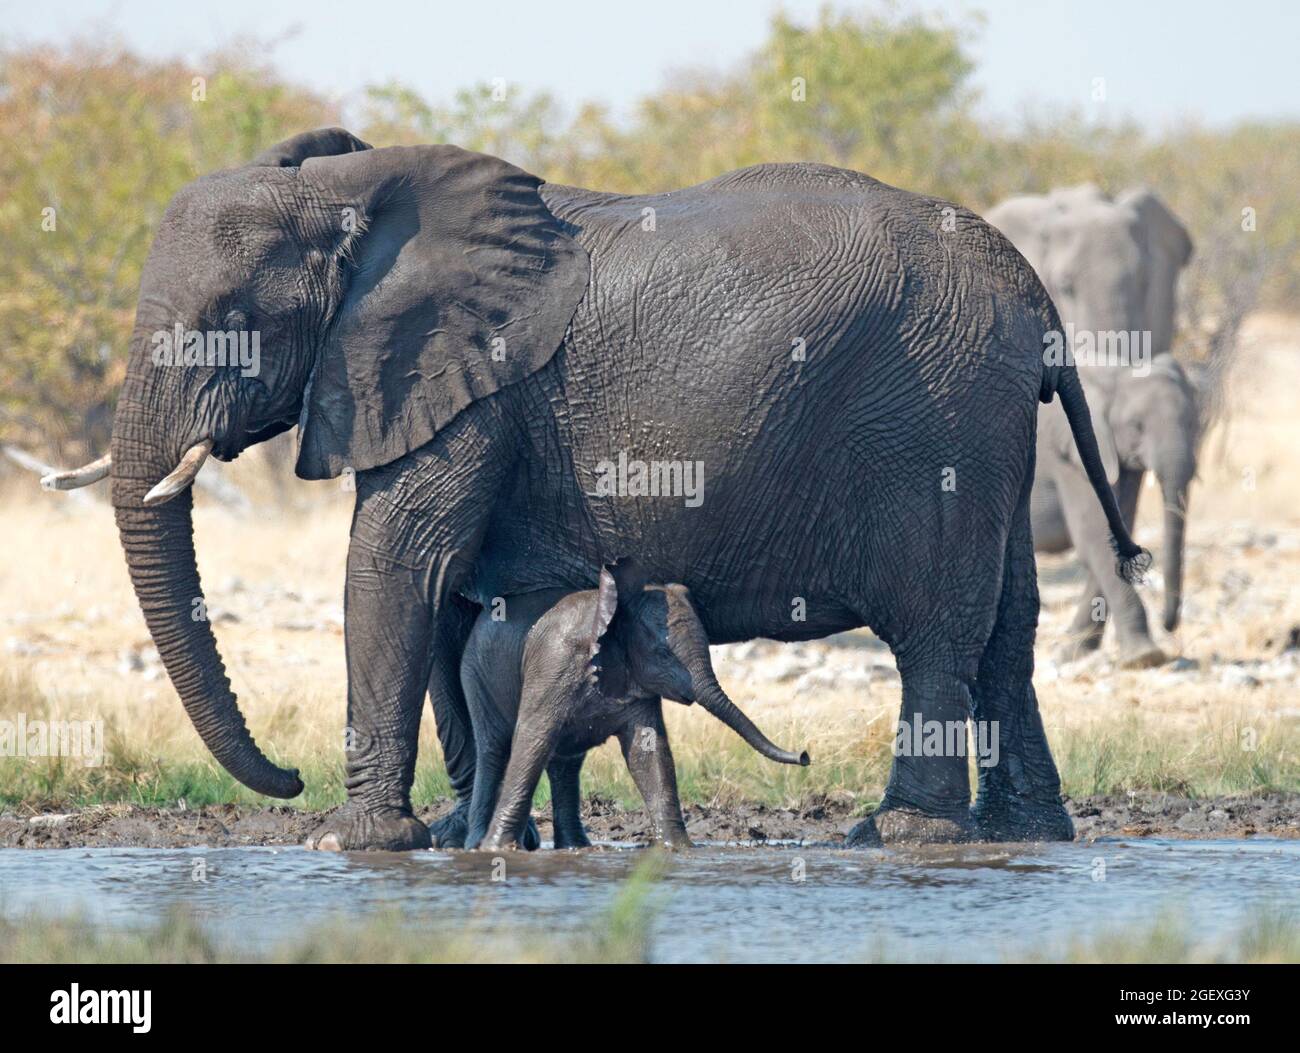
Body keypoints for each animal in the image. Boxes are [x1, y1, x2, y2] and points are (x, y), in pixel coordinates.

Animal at [462, 559, 809, 852]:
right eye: (663, 654)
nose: (805, 756)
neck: (614, 613)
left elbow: (649, 752)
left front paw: (678, 848)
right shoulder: (553, 666)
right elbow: (533, 740)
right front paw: (499, 850)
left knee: (565, 764)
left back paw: (577, 848)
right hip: (476, 674)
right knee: (494, 750)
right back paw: (477, 845)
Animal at [987, 187, 1196, 667]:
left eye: (1147, 282)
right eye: (1063, 286)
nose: (1171, 626)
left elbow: (1118, 527)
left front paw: (1075, 650)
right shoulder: (1066, 455)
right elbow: (1093, 535)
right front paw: (1143, 659)